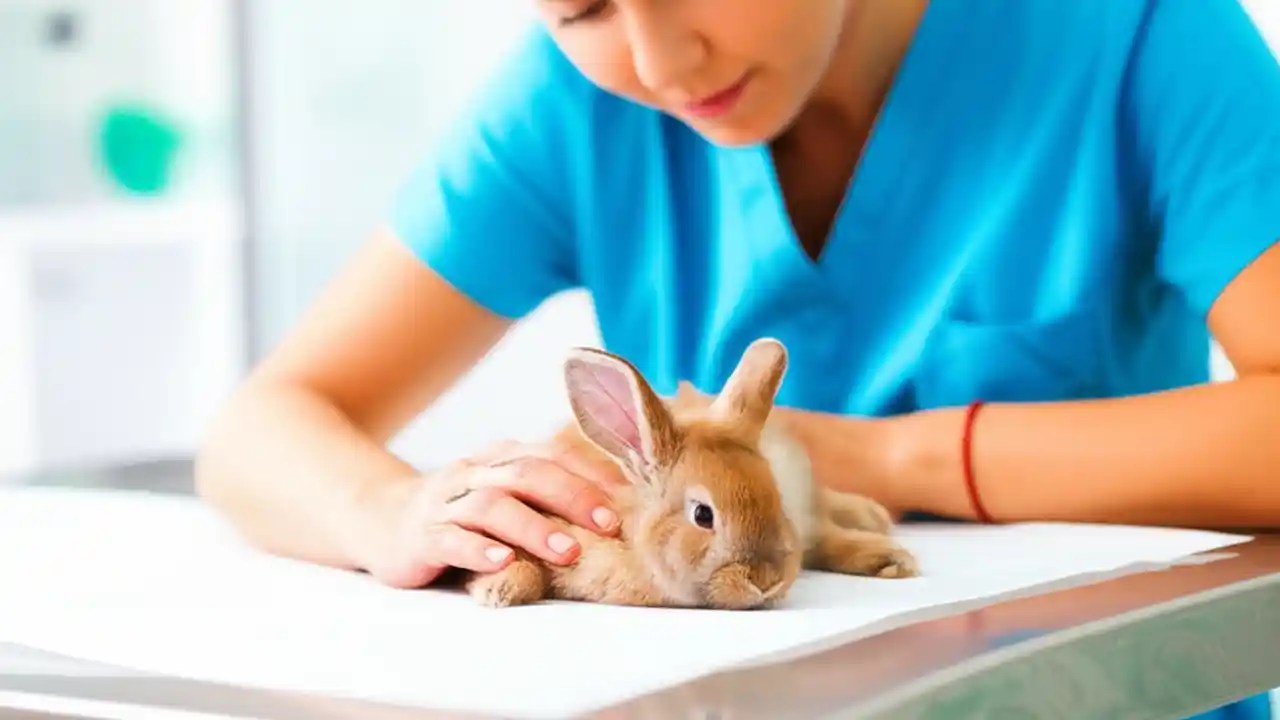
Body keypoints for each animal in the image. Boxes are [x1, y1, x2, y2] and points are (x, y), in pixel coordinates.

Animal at [463, 337, 919, 610]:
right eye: (703, 515)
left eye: (776, 502)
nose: (765, 581)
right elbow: (516, 558)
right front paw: (498, 591)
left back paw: (886, 548)